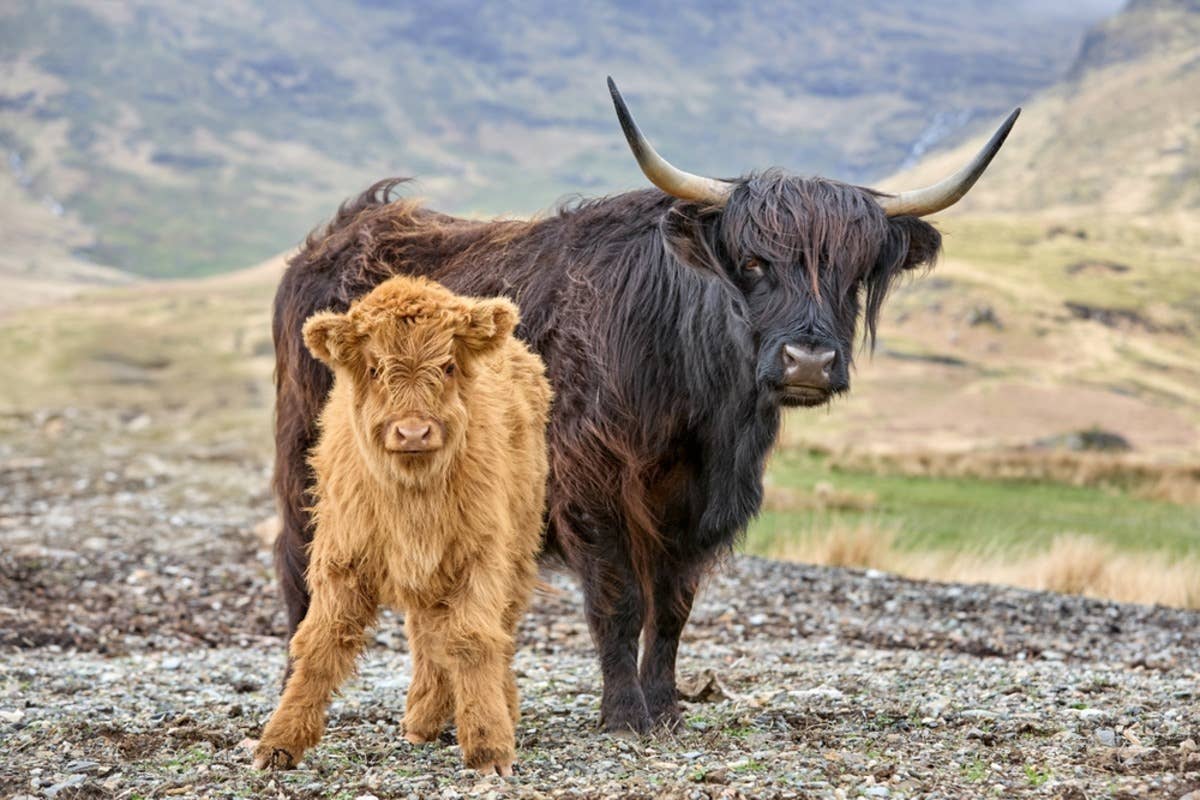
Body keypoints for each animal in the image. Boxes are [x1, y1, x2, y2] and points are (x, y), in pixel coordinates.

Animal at [254, 275, 551, 774]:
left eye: (447, 365)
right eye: (375, 368)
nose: (413, 432)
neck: (412, 498)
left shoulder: (480, 557)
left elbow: (474, 639)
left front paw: (489, 745)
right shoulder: (342, 557)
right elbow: (320, 642)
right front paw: (278, 742)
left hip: (517, 547)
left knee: (498, 630)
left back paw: (497, 707)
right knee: (427, 635)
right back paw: (422, 720)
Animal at [271, 78, 1018, 734]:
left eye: (855, 273)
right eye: (753, 263)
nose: (808, 361)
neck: (697, 402)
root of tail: (342, 232)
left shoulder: (697, 505)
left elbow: (672, 609)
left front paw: (666, 709)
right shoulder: (592, 487)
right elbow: (620, 600)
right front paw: (625, 715)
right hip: (308, 461)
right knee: (299, 558)